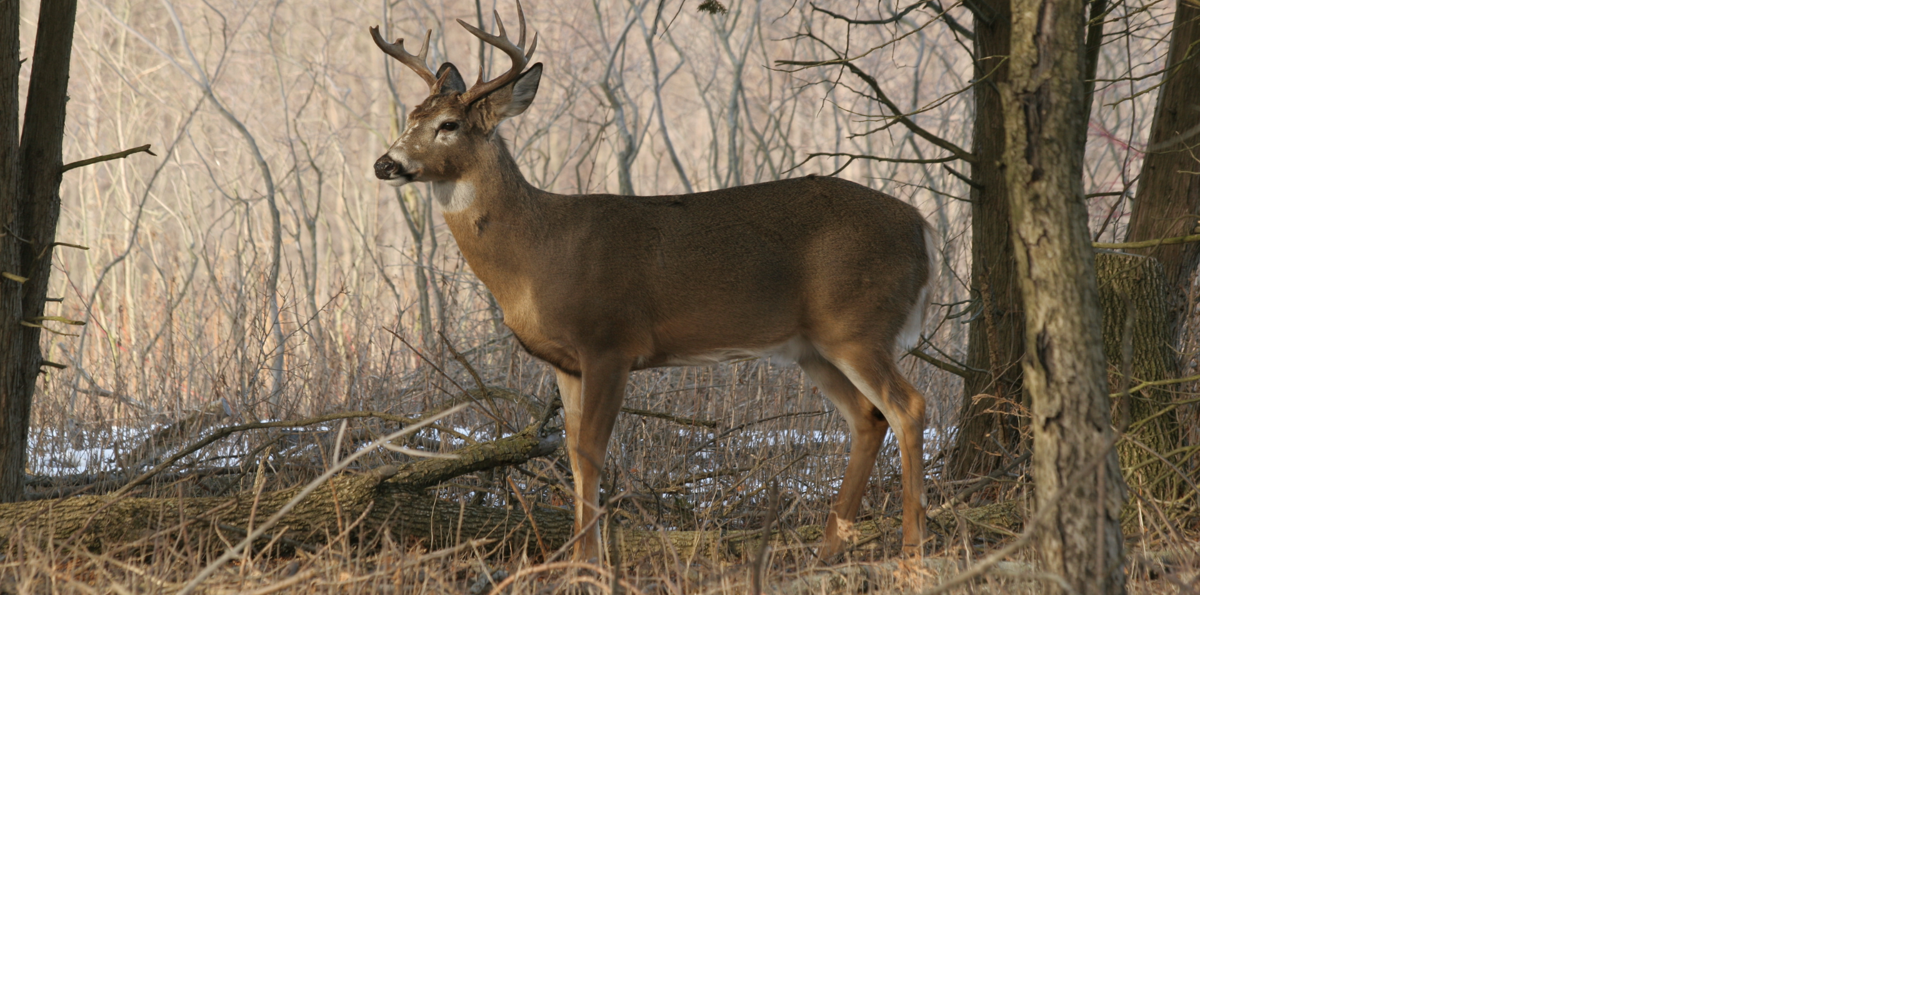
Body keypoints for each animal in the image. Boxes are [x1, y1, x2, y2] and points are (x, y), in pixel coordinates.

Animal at [370, 4, 933, 564]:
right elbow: (572, 455)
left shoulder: (610, 341)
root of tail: (924, 228)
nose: (385, 163)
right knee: (868, 418)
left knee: (908, 407)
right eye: (410, 118)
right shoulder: (565, 362)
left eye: (448, 125)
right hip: (812, 346)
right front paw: (581, 559)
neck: (537, 253)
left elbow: (592, 453)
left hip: (857, 324)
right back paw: (827, 552)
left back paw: (912, 551)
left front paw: (589, 565)